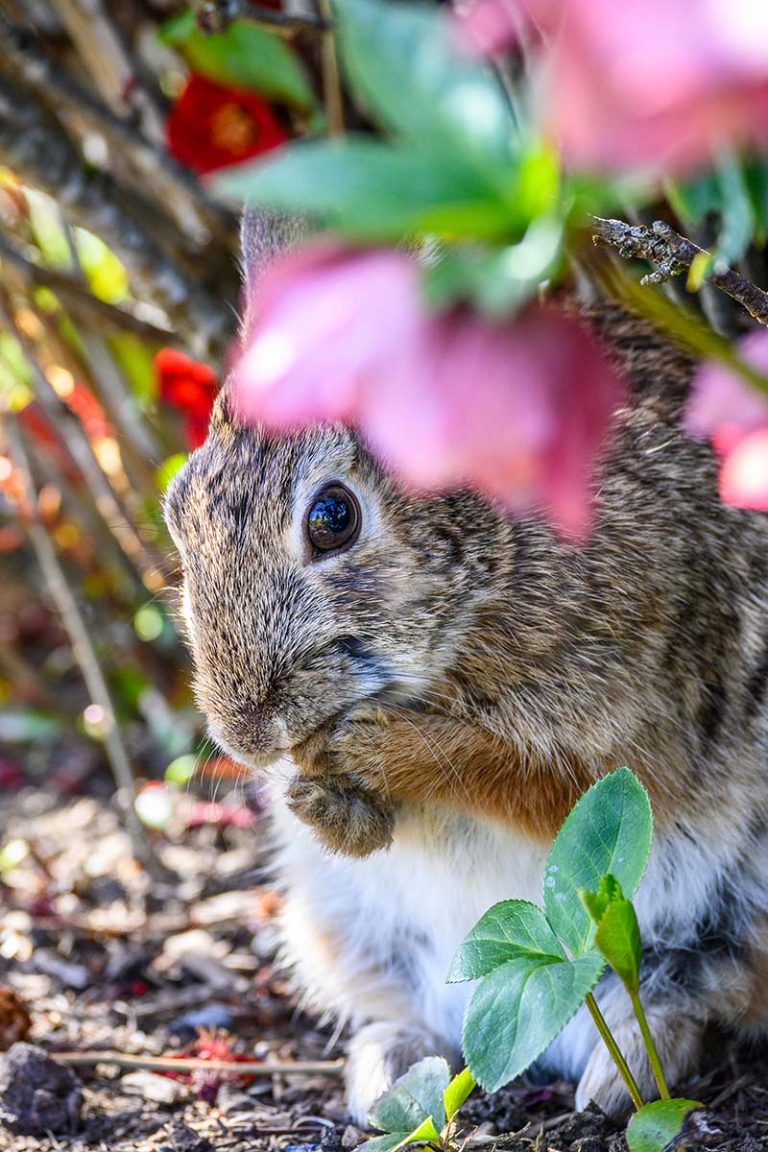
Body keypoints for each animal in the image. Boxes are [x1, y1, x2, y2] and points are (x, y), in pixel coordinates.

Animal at [163, 212, 768, 1124]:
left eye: (333, 517)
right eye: (177, 510)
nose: (246, 734)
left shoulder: (635, 725)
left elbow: (518, 776)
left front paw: (376, 751)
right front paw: (316, 799)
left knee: (690, 986)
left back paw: (615, 1069)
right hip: (349, 925)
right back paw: (387, 1075)